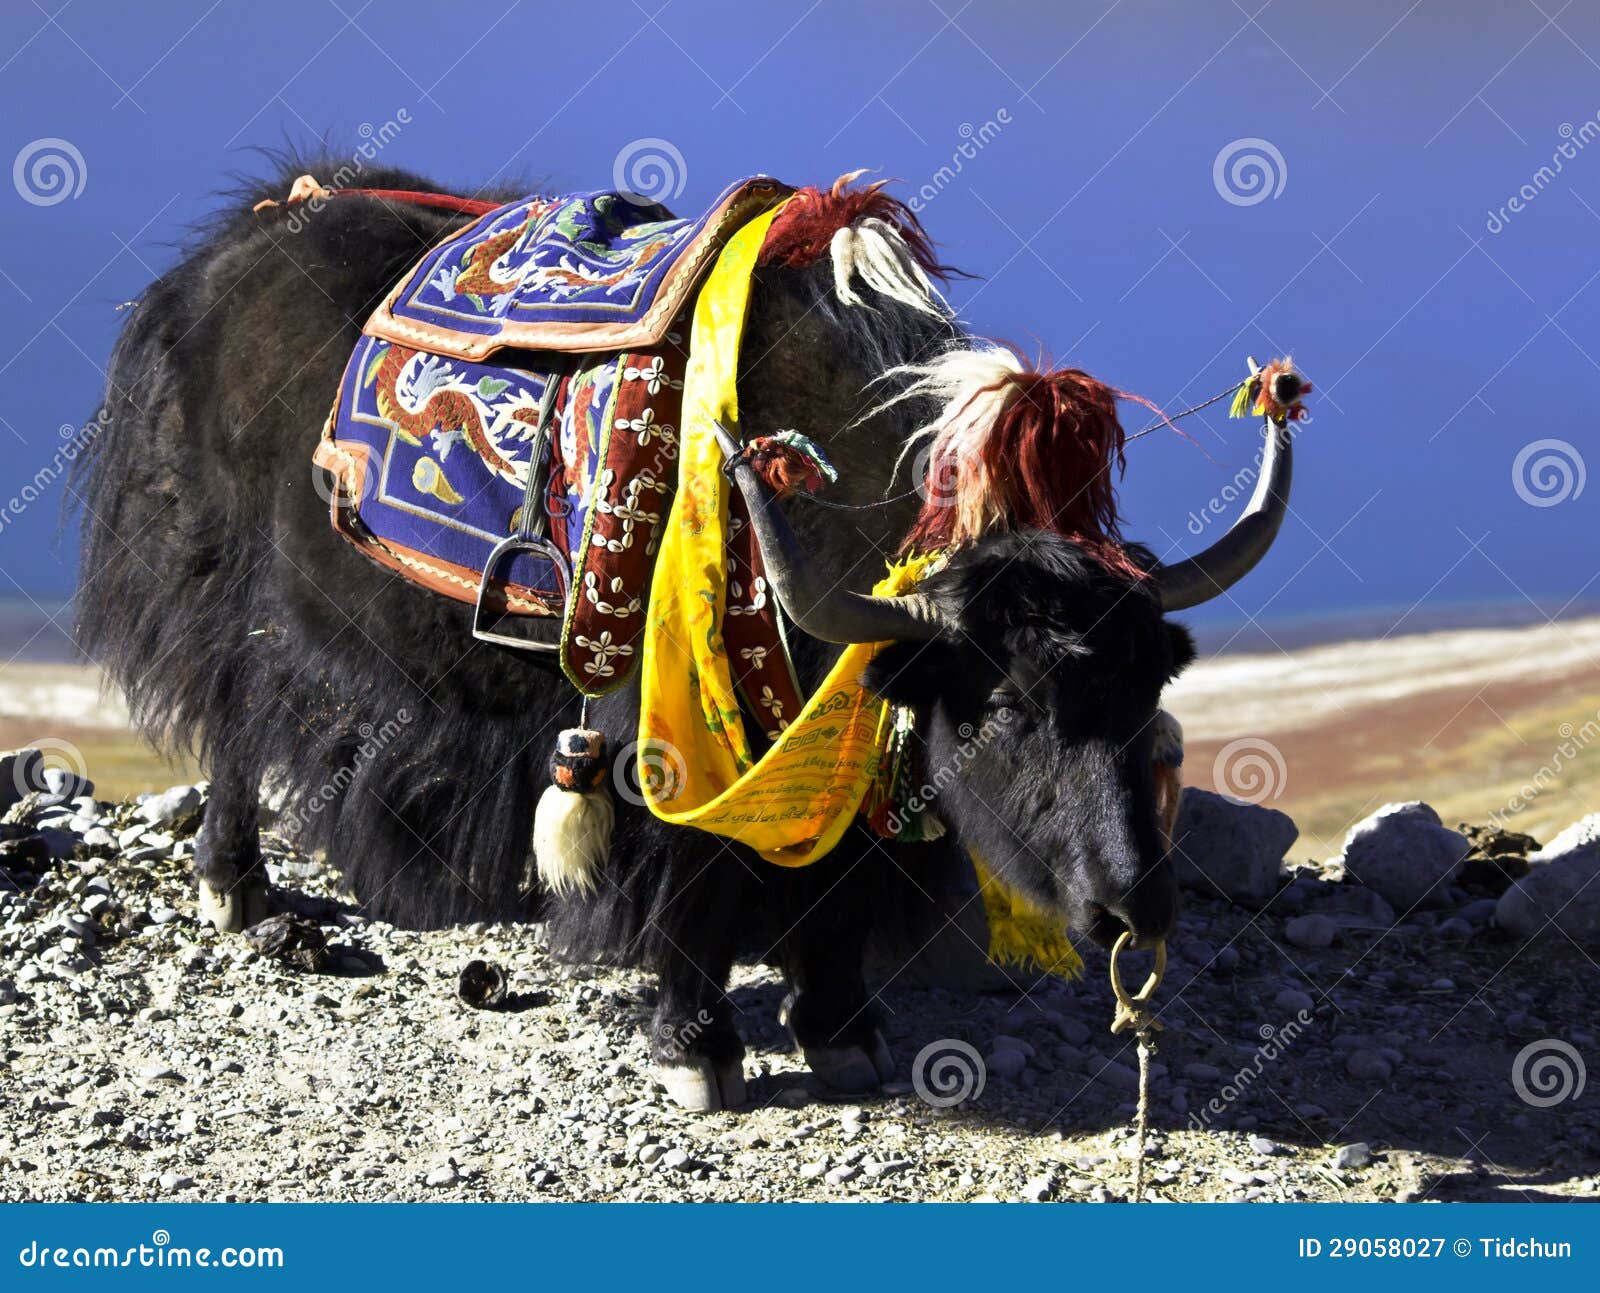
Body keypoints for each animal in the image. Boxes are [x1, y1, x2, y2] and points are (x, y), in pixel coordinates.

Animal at [74, 162, 1290, 1110]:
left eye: (1148, 688)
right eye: (1002, 705)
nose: (1133, 909)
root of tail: (236, 244)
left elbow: (836, 874)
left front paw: (842, 1031)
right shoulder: (663, 725)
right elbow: (697, 870)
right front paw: (698, 1052)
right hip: (225, 578)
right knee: (234, 717)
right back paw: (236, 886)